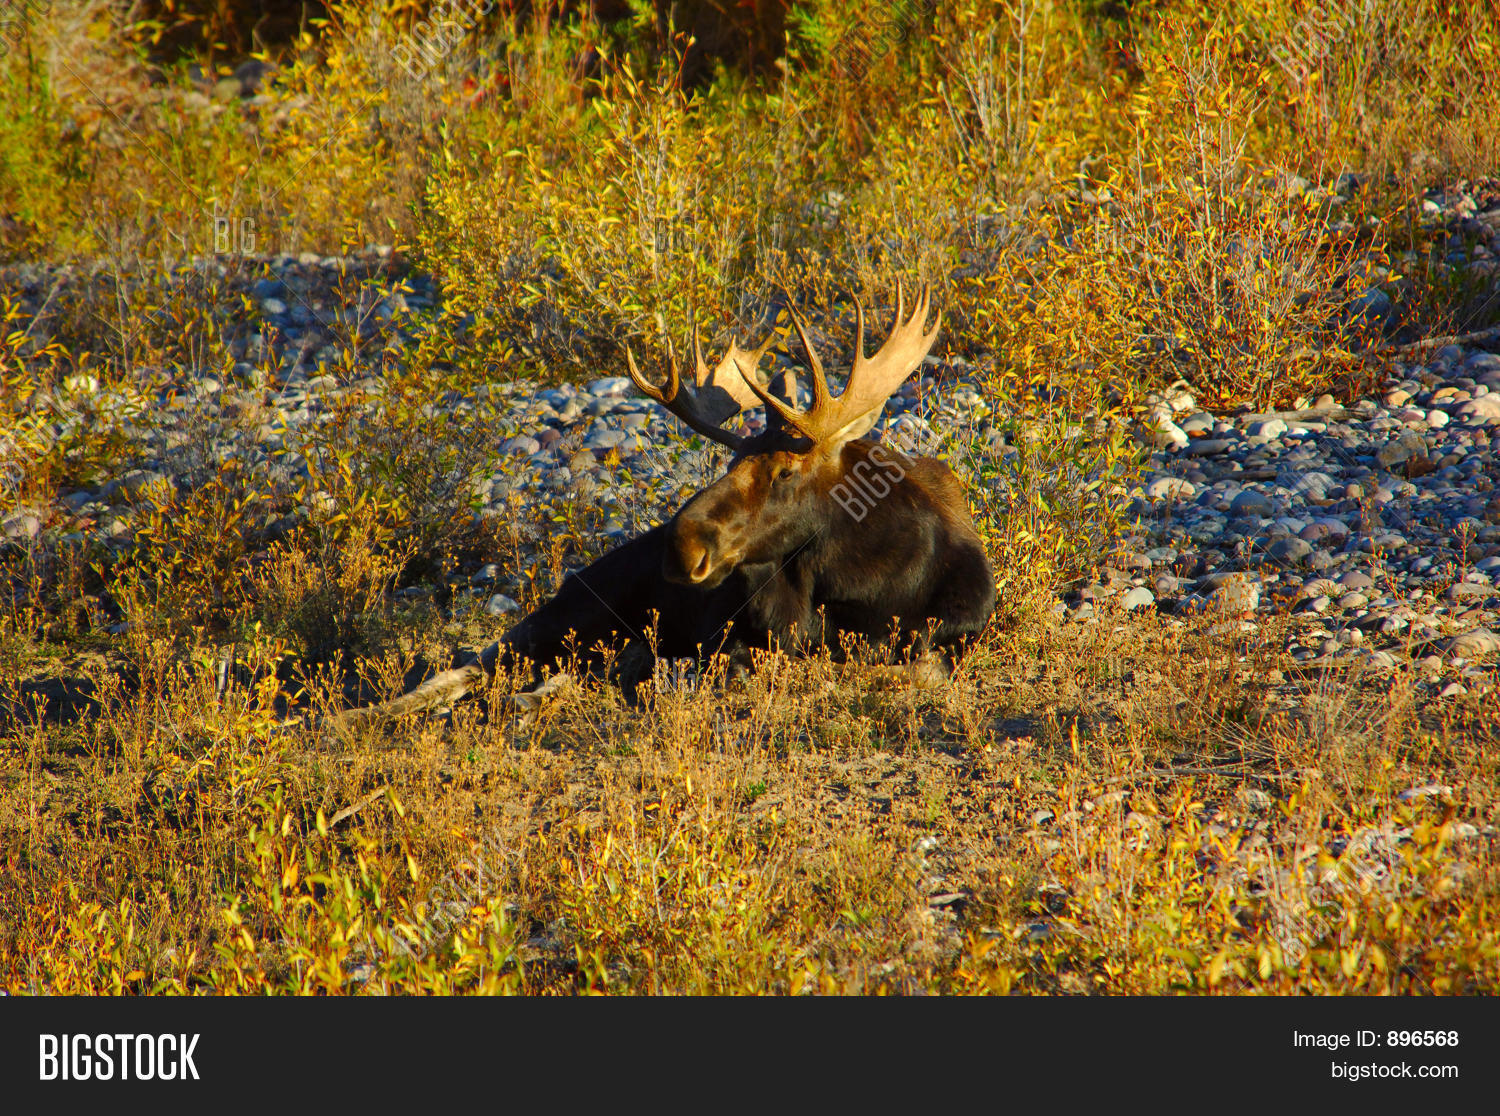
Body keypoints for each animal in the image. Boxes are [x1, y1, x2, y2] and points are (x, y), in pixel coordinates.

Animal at [328, 284, 995, 733]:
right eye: (728, 463)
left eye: (784, 470)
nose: (683, 546)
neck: (871, 582)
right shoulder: (738, 639)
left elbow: (909, 664)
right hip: (574, 612)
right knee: (472, 665)